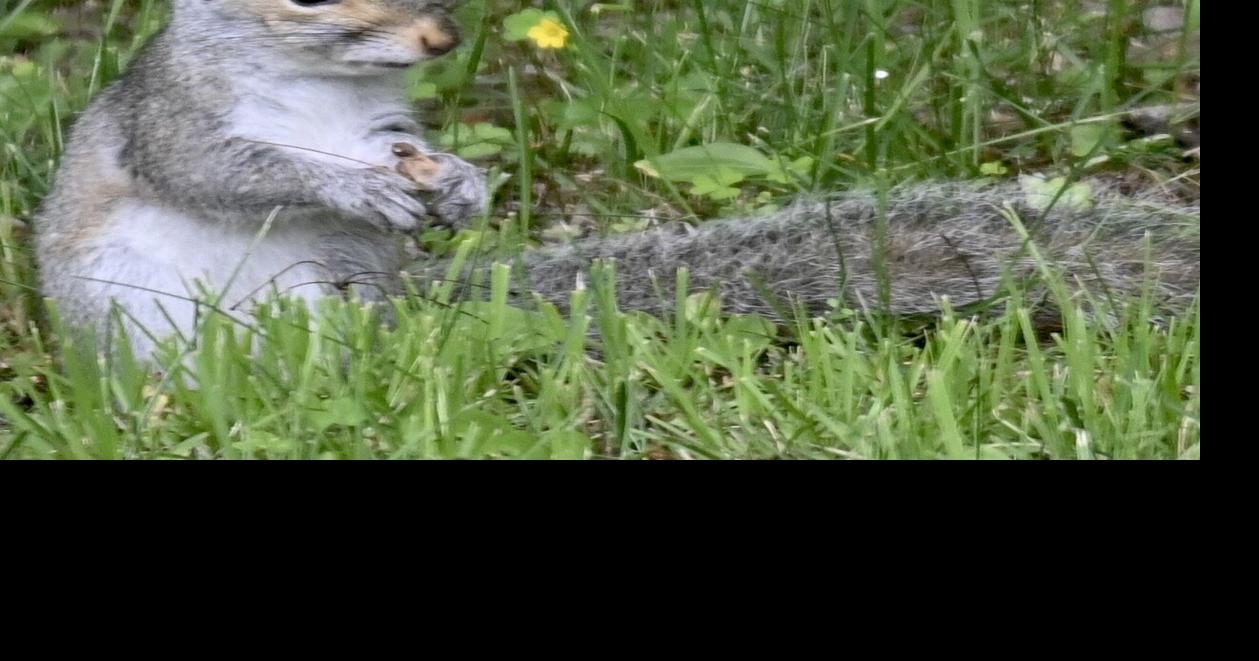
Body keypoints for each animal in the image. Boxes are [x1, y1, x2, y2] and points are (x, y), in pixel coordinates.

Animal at [35, 1, 1200, 361]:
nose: (441, 34)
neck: (321, 93)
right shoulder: (172, 114)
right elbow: (224, 168)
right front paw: (352, 189)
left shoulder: (391, 125)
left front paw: (462, 189)